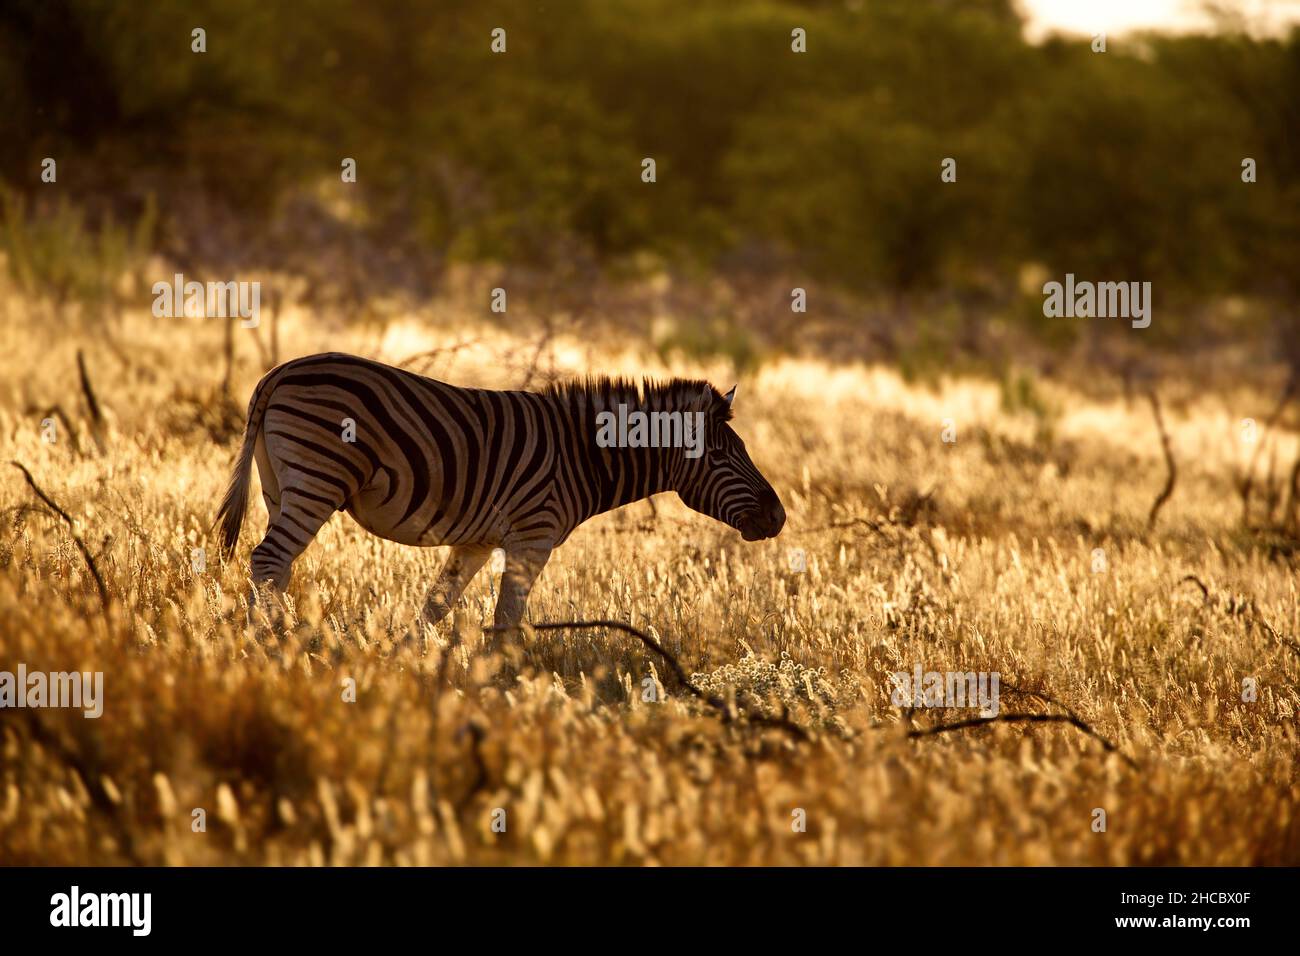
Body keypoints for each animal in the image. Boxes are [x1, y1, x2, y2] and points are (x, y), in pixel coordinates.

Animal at [215, 352, 786, 630]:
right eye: (721, 457)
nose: (778, 517)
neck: (581, 454)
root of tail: (280, 371)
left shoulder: (476, 540)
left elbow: (435, 606)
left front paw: (413, 666)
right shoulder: (532, 538)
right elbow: (507, 621)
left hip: (280, 487)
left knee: (277, 569)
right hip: (318, 479)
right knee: (268, 560)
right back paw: (269, 643)